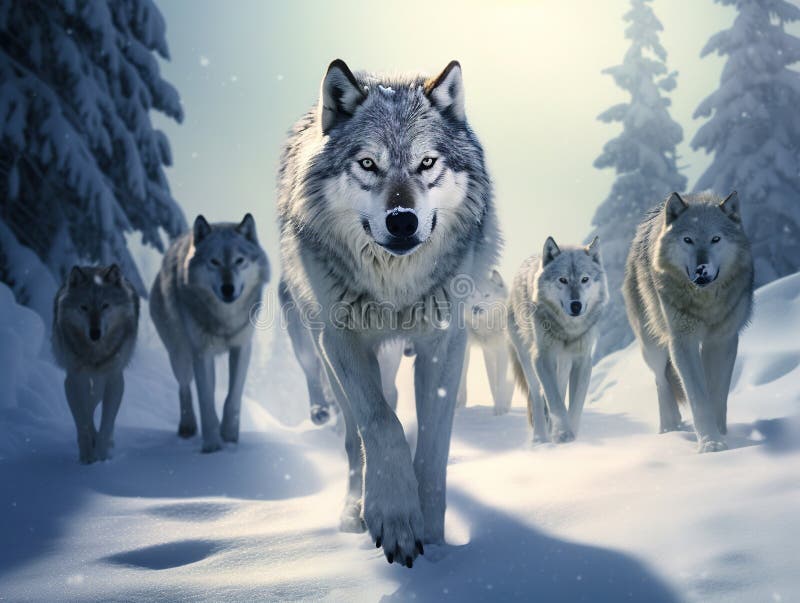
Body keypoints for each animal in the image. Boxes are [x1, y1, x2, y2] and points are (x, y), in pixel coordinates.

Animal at [52, 265, 139, 464]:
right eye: (83, 307)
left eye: (105, 305)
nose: (95, 333)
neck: (95, 353)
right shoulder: (74, 379)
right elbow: (82, 419)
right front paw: (87, 457)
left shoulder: (114, 379)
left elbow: (106, 422)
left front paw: (101, 457)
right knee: (89, 405)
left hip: (103, 380)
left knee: (95, 401)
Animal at [150, 214, 269, 452]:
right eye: (214, 262)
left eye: (239, 261)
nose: (228, 288)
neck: (225, 319)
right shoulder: (201, 353)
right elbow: (205, 400)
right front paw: (212, 446)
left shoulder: (242, 348)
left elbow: (233, 397)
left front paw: (229, 436)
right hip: (180, 355)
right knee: (184, 387)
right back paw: (187, 426)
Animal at [278, 59, 499, 566]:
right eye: (368, 164)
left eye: (426, 163)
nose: (402, 220)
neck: (394, 287)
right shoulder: (340, 339)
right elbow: (380, 424)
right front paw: (394, 519)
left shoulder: (444, 342)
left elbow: (433, 450)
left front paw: (433, 538)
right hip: (320, 346)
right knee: (353, 433)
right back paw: (353, 511)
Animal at [508, 237, 608, 443]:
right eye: (563, 279)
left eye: (584, 279)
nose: (576, 305)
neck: (568, 330)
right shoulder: (542, 358)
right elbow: (554, 400)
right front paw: (563, 434)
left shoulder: (582, 361)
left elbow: (575, 405)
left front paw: (570, 435)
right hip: (528, 361)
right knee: (537, 396)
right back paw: (540, 439)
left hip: (562, 364)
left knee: (557, 391)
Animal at [623, 192, 753, 453]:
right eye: (688, 240)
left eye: (715, 239)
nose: (701, 270)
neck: (705, 302)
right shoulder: (682, 342)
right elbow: (697, 397)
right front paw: (710, 443)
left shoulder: (722, 340)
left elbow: (716, 394)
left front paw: (721, 435)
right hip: (652, 346)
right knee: (661, 380)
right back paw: (669, 428)